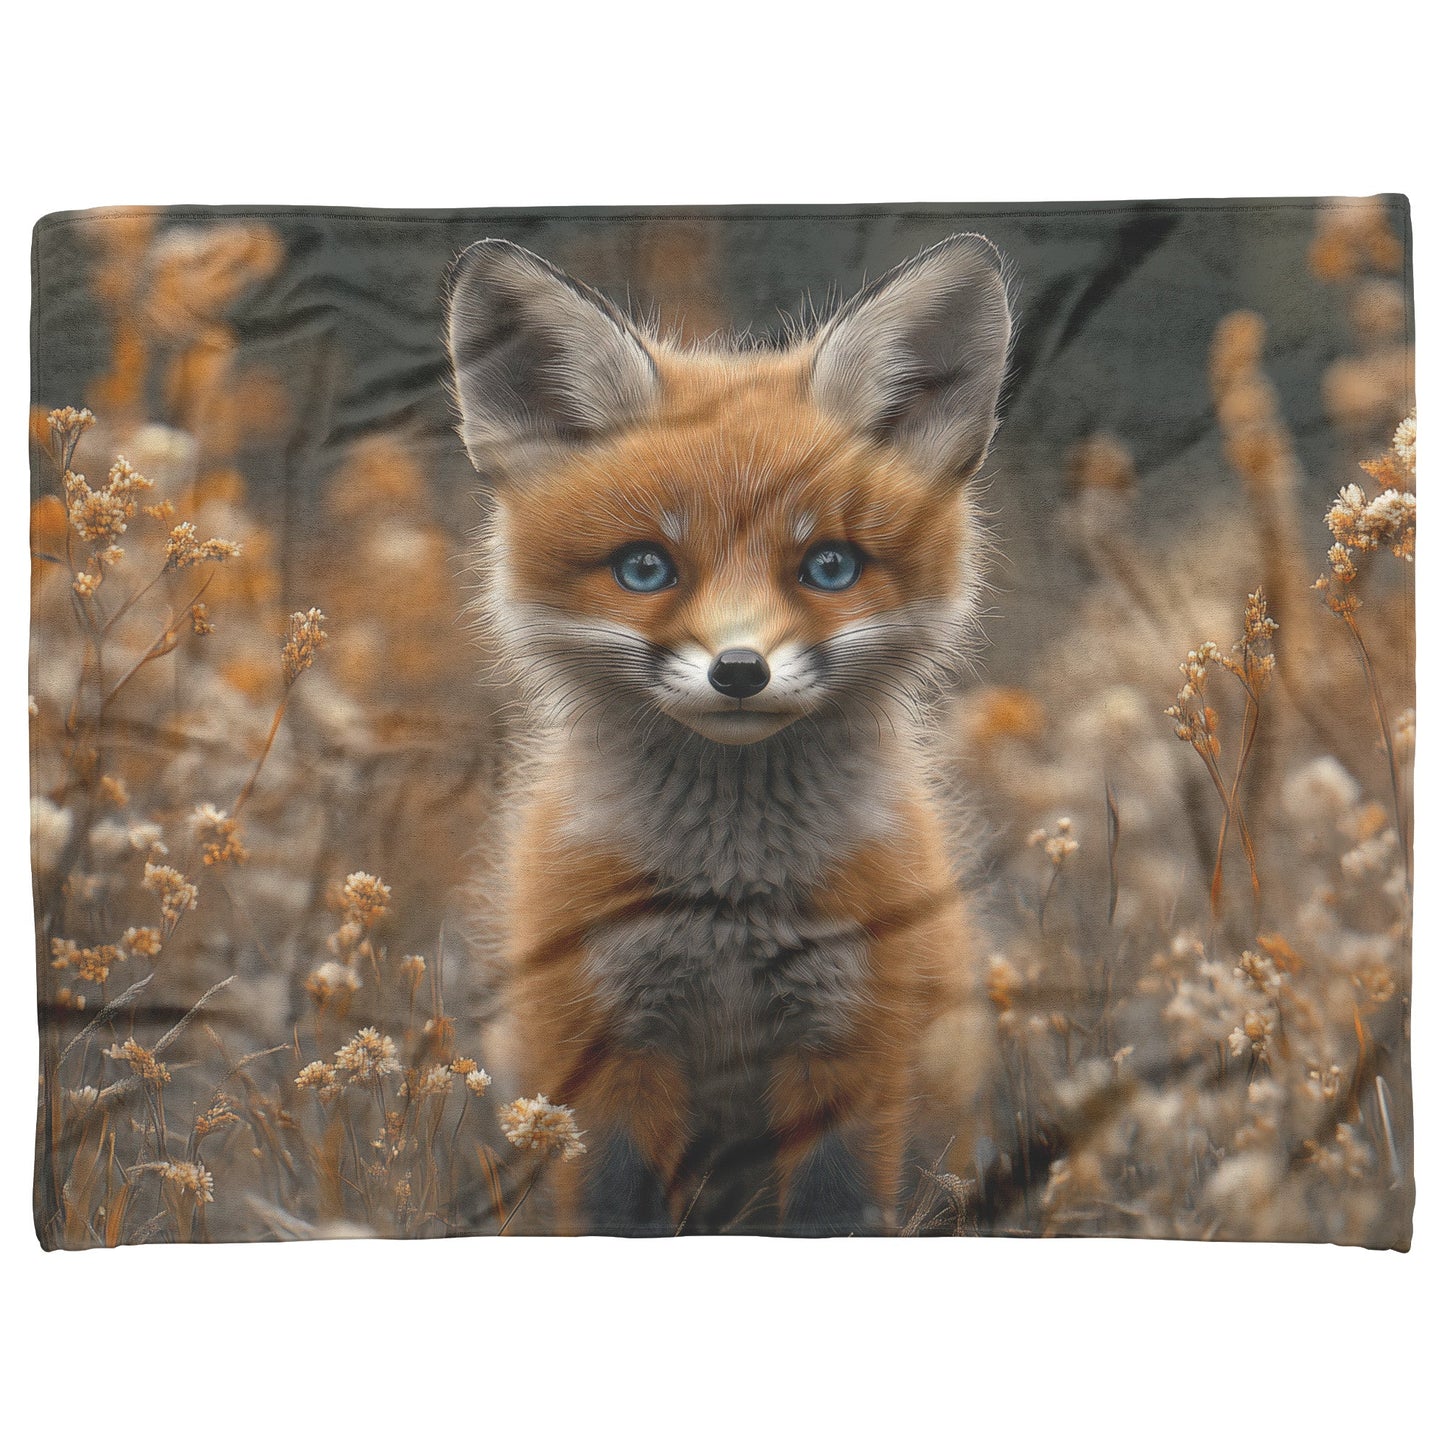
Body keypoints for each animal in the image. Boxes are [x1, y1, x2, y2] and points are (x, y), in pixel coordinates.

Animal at [444, 231, 1012, 1235]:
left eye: (829, 566)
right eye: (644, 567)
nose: (739, 670)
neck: (729, 900)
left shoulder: (851, 1042)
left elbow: (834, 1213)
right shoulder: (603, 1043)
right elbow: (610, 1211)